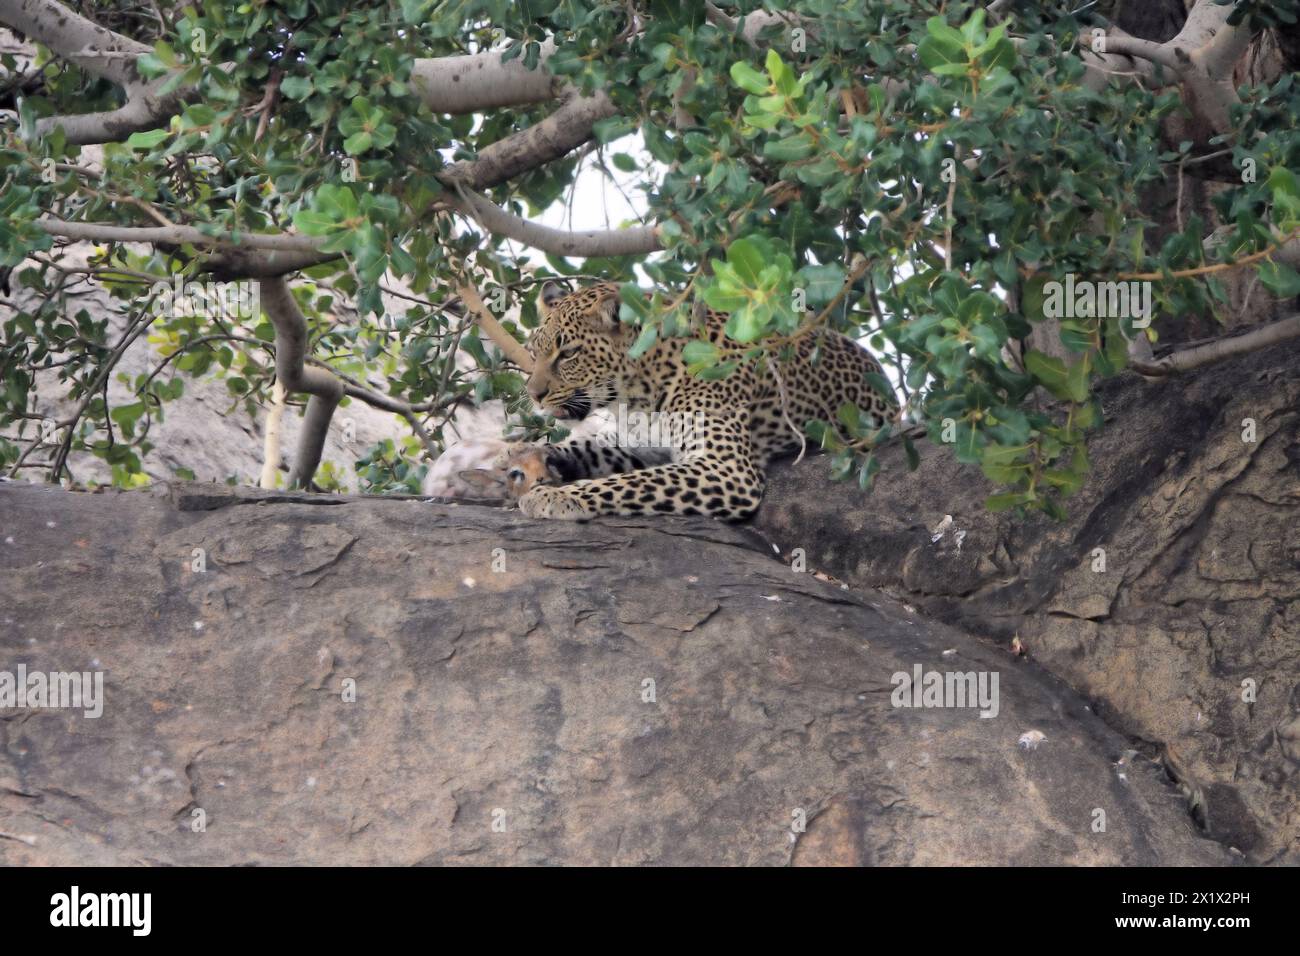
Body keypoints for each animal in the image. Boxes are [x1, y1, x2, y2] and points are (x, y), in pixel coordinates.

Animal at [513, 279, 898, 521]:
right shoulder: (640, 444)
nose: (534, 395)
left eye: (569, 354)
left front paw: (554, 496)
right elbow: (588, 448)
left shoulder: (725, 468)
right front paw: (529, 457)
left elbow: (625, 484)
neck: (635, 394)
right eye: (534, 351)